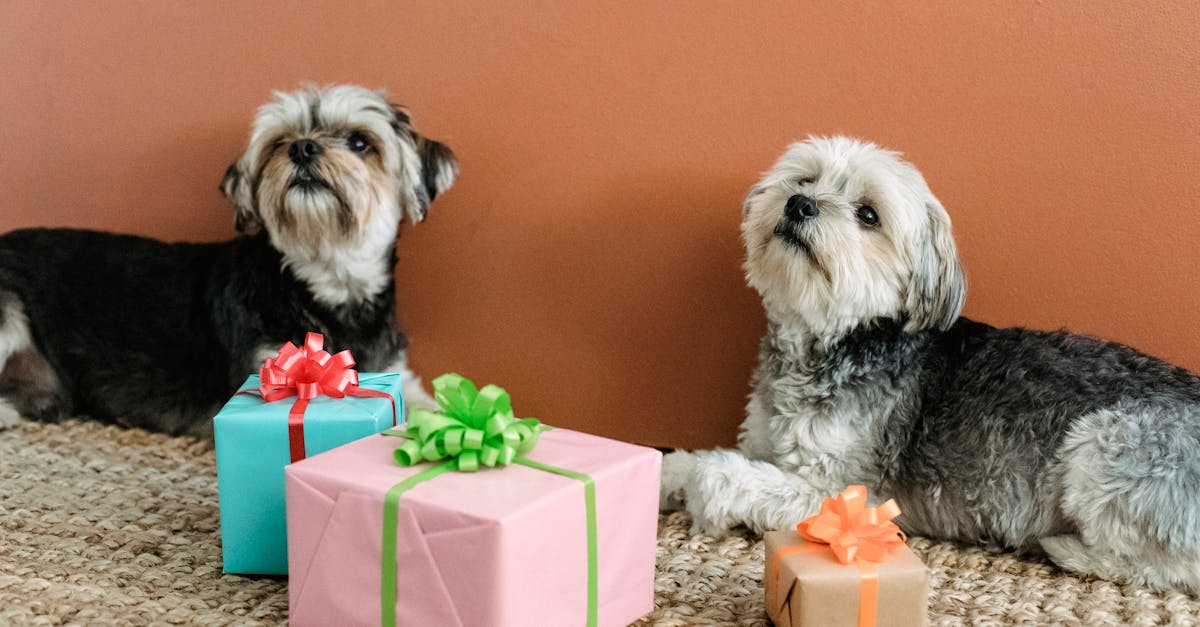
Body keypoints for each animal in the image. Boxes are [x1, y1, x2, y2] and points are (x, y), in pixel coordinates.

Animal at [0, 81, 458, 434]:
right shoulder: (262, 371)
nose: (302, 148)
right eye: (279, 143)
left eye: (360, 142)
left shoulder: (400, 373)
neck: (327, 285)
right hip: (7, 312)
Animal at [662, 135, 1200, 590]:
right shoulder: (764, 442)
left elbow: (718, 472)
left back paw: (1064, 549)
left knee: (1162, 568)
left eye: (868, 215)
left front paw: (703, 498)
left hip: (1103, 444)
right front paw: (663, 477)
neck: (835, 340)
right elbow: (684, 462)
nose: (799, 204)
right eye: (804, 180)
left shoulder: (847, 495)